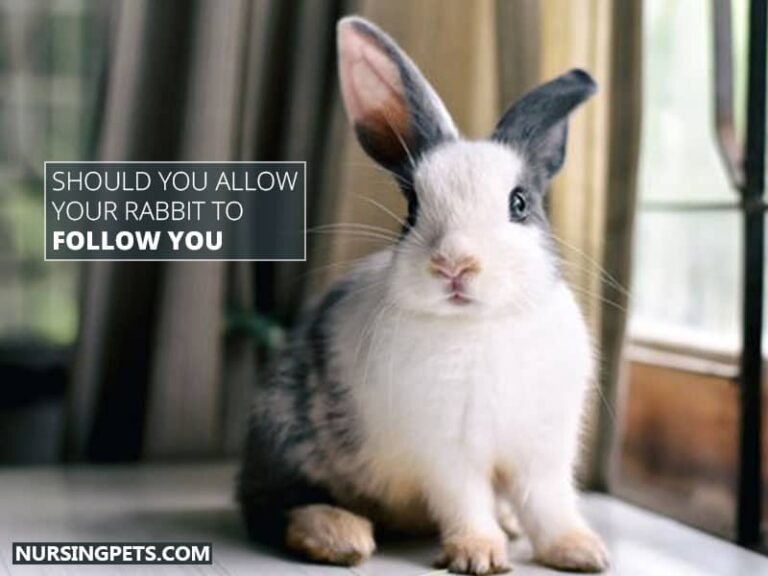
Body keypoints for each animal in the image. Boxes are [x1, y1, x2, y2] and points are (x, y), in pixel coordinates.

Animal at [238, 15, 608, 576]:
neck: (481, 325)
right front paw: (479, 555)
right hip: (285, 433)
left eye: (519, 203)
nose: (454, 263)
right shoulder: (447, 452)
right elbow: (466, 502)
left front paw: (582, 551)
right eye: (412, 208)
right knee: (272, 505)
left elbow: (549, 503)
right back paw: (340, 535)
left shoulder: (543, 450)